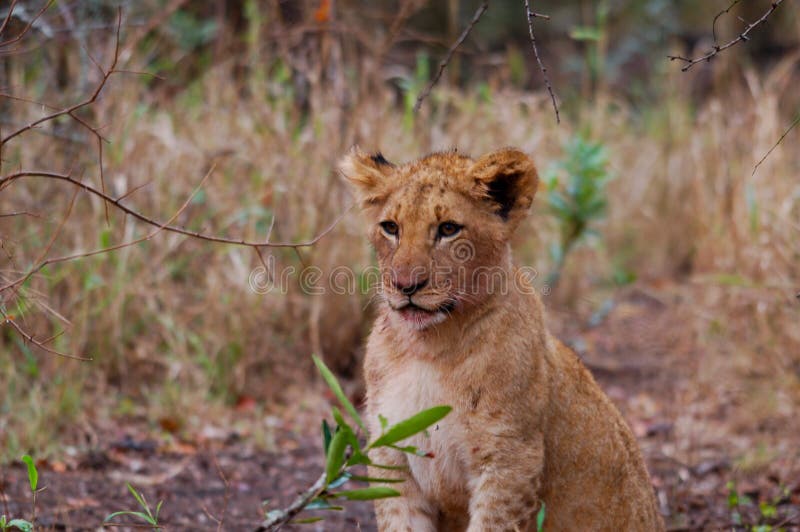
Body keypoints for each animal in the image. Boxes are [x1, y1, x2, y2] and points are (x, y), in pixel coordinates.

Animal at [339, 147, 665, 532]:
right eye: (391, 228)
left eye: (448, 229)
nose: (405, 285)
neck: (428, 347)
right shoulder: (391, 455)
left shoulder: (510, 460)